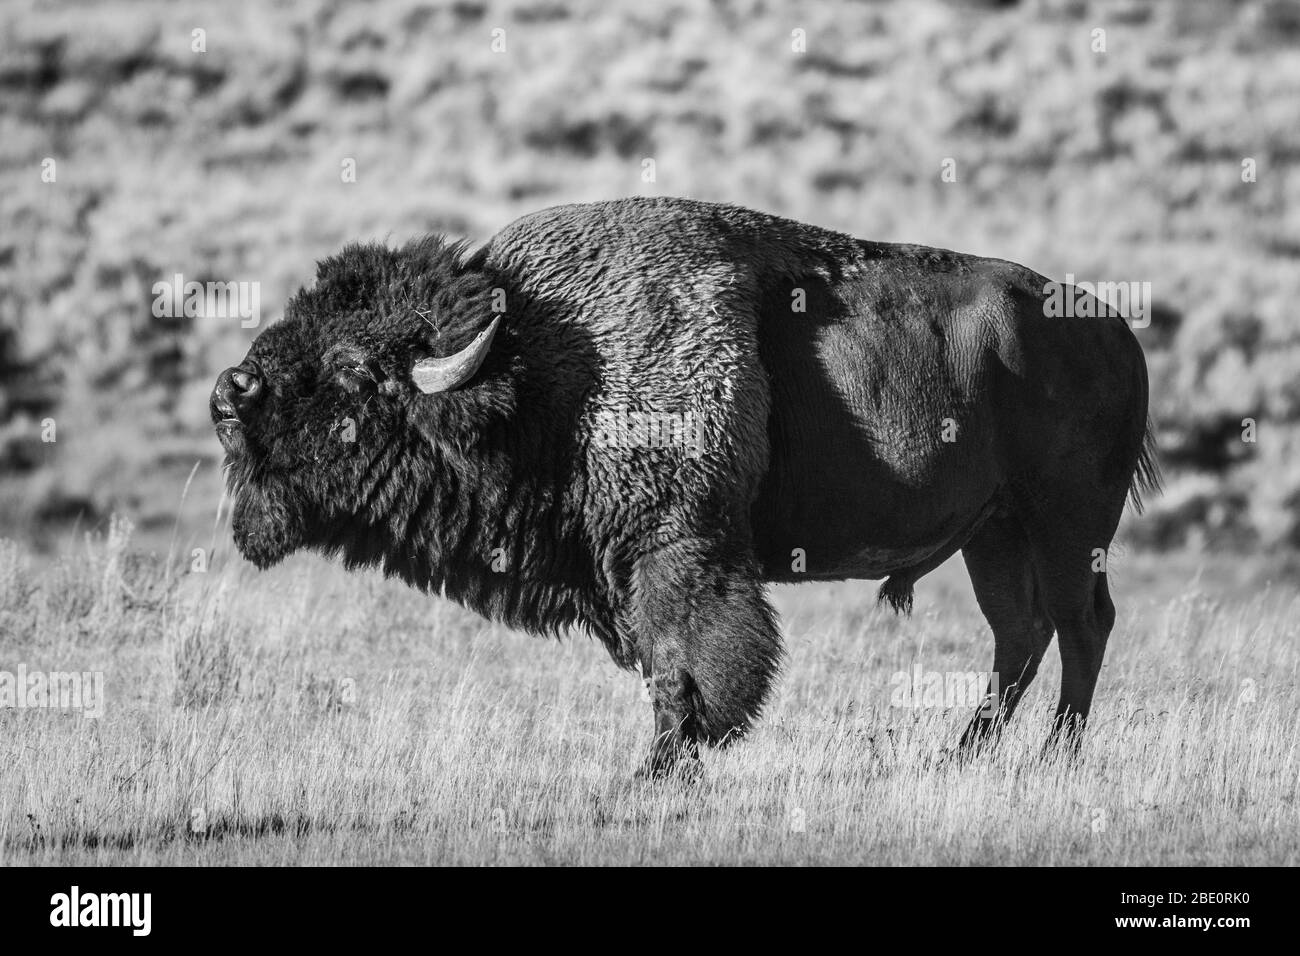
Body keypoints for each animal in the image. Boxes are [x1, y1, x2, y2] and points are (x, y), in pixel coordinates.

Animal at [210, 197, 1159, 776]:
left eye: (355, 369)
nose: (230, 392)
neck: (549, 362)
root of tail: (1116, 332)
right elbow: (660, 664)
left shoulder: (677, 550)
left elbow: (686, 663)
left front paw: (659, 769)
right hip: (993, 536)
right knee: (1021, 635)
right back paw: (960, 754)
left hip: (1067, 527)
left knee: (1080, 626)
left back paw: (1055, 758)